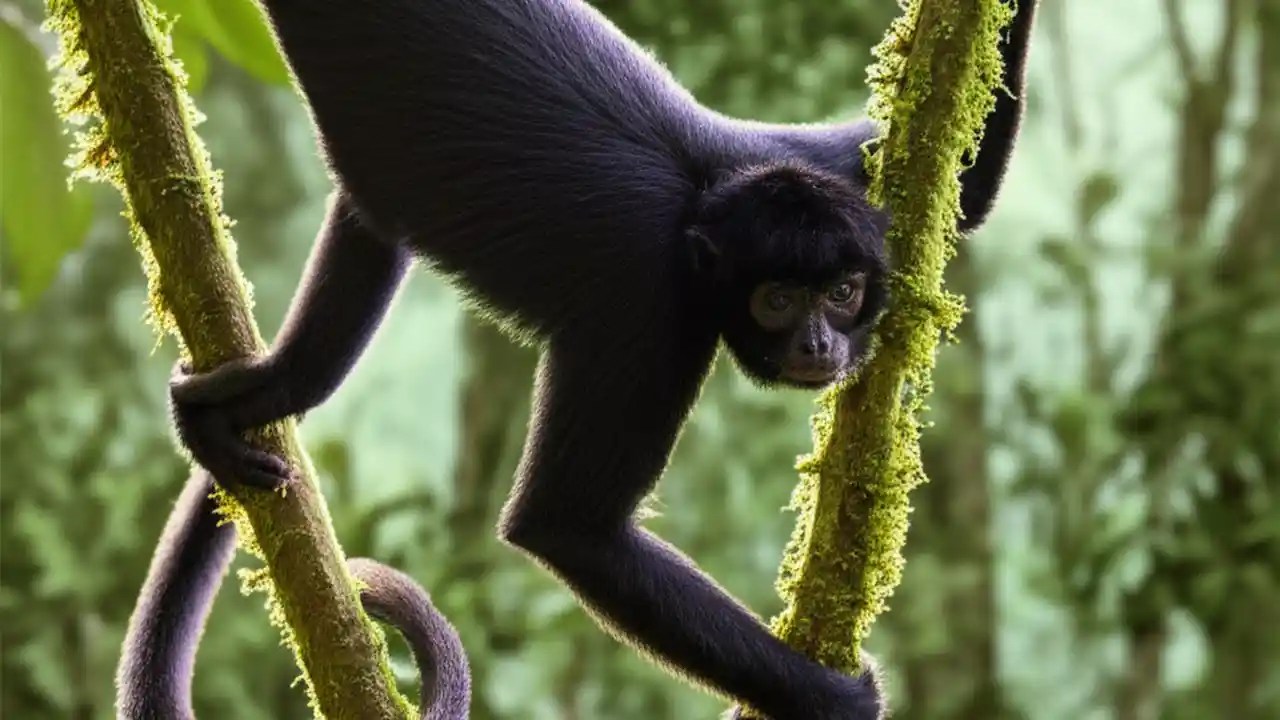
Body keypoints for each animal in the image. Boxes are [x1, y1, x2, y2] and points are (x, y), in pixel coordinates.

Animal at [117, 0, 1038, 717]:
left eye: (843, 291)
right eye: (777, 301)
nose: (822, 342)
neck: (698, 204)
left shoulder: (811, 172)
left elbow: (967, 182)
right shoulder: (648, 311)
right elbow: (567, 526)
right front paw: (839, 700)